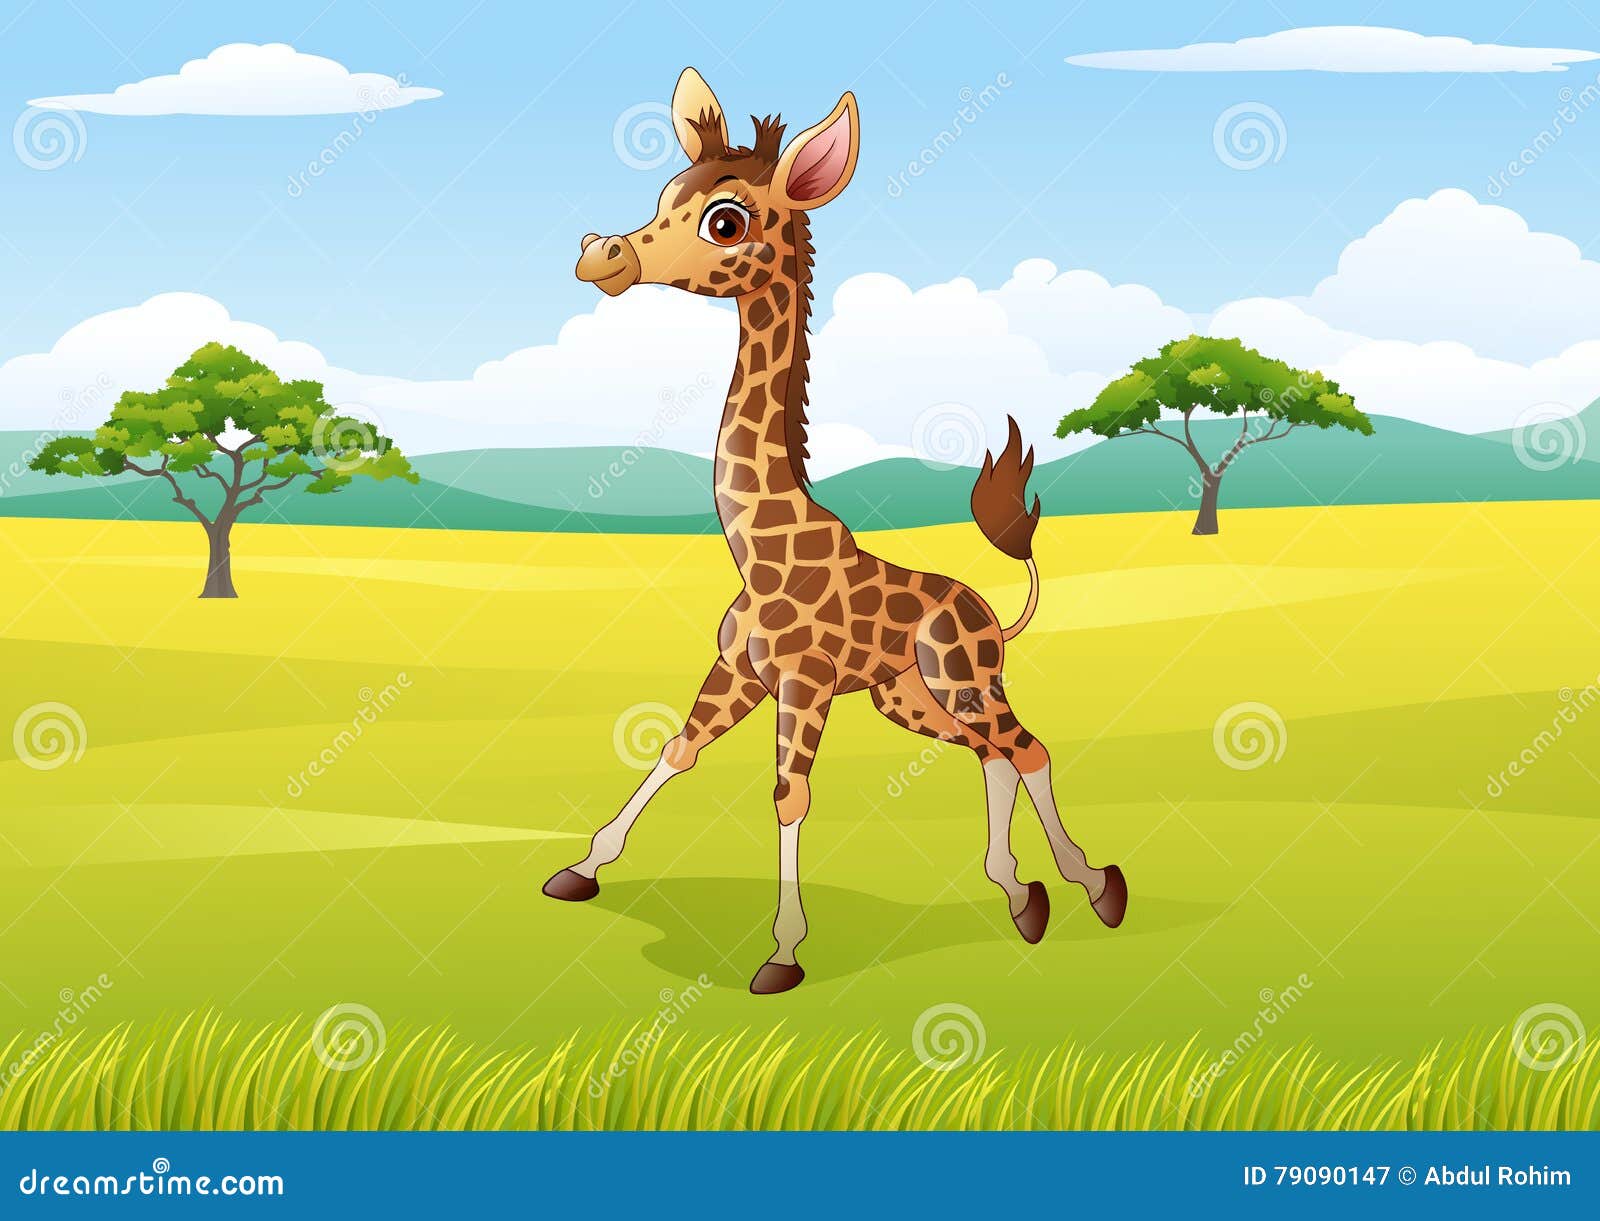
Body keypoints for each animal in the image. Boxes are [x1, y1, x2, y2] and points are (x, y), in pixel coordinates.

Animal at [544, 68, 1127, 994]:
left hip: (961, 679)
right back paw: (1020, 897)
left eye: (726, 220)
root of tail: (992, 617)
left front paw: (782, 952)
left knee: (1026, 747)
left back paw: (1095, 885)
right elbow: (676, 750)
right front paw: (580, 868)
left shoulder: (805, 684)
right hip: (910, 695)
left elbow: (790, 795)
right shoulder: (737, 670)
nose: (603, 255)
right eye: (665, 193)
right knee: (991, 754)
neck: (758, 549)